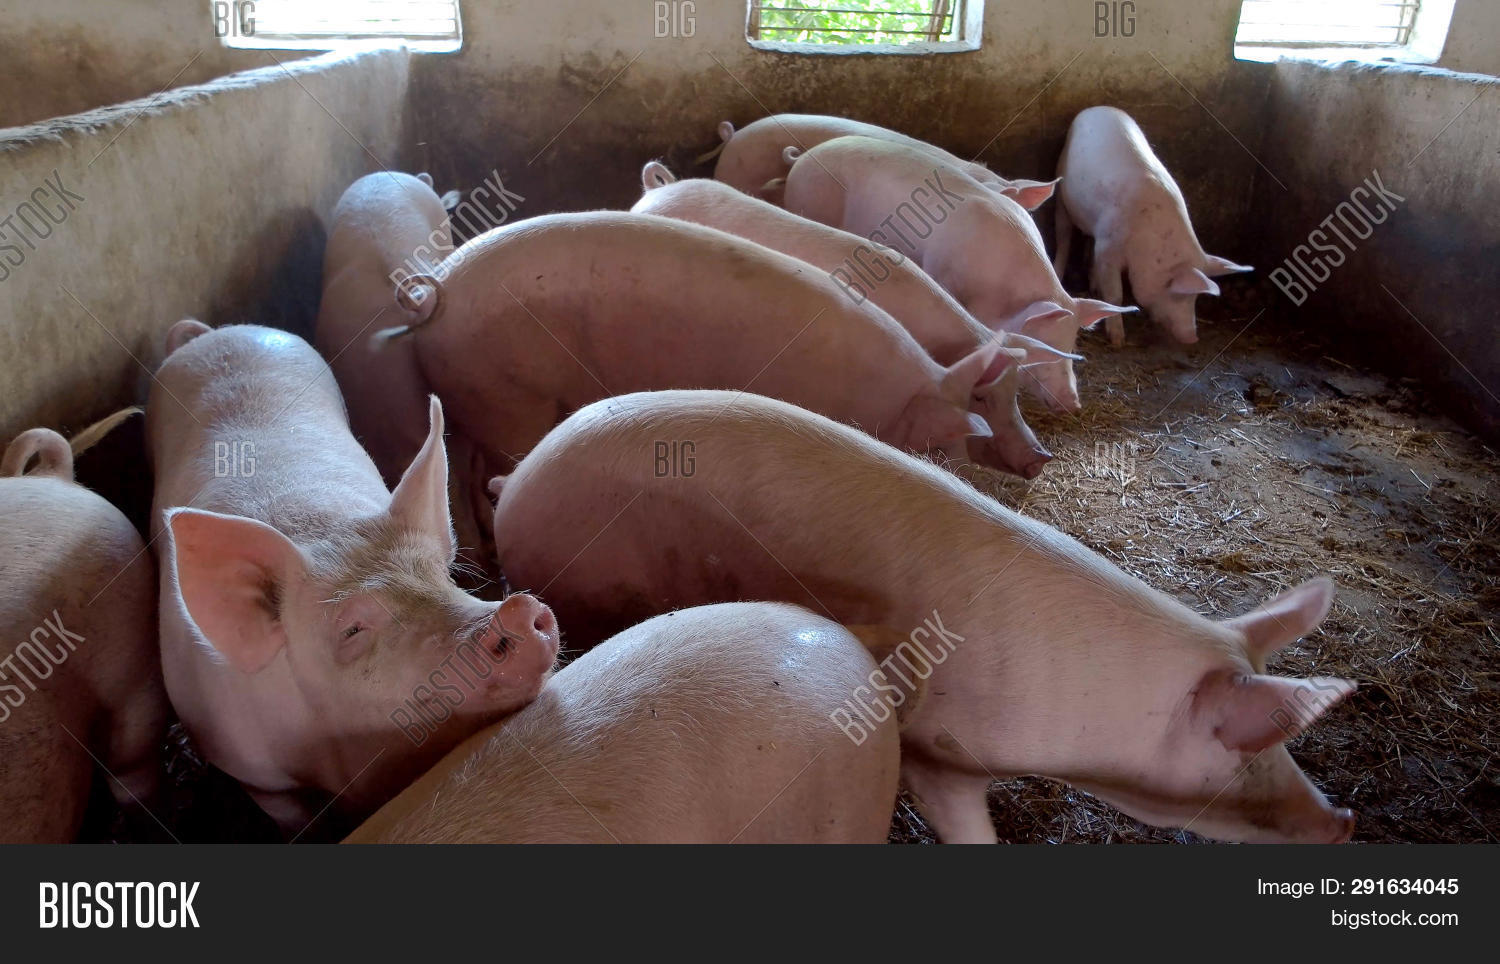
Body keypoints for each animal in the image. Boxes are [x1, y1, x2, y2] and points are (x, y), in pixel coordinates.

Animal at [782, 136, 1133, 412]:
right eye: (1045, 342)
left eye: (1072, 343)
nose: (1072, 404)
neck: (1000, 290)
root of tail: (804, 157)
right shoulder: (944, 273)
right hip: (810, 200)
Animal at [1054, 107, 1253, 346]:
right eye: (1177, 294)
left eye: (1196, 299)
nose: (1193, 337)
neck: (1146, 242)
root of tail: (1095, 108)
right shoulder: (1108, 247)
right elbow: (1115, 294)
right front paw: (1118, 340)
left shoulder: (1103, 242)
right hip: (1061, 193)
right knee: (1064, 236)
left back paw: (1092, 284)